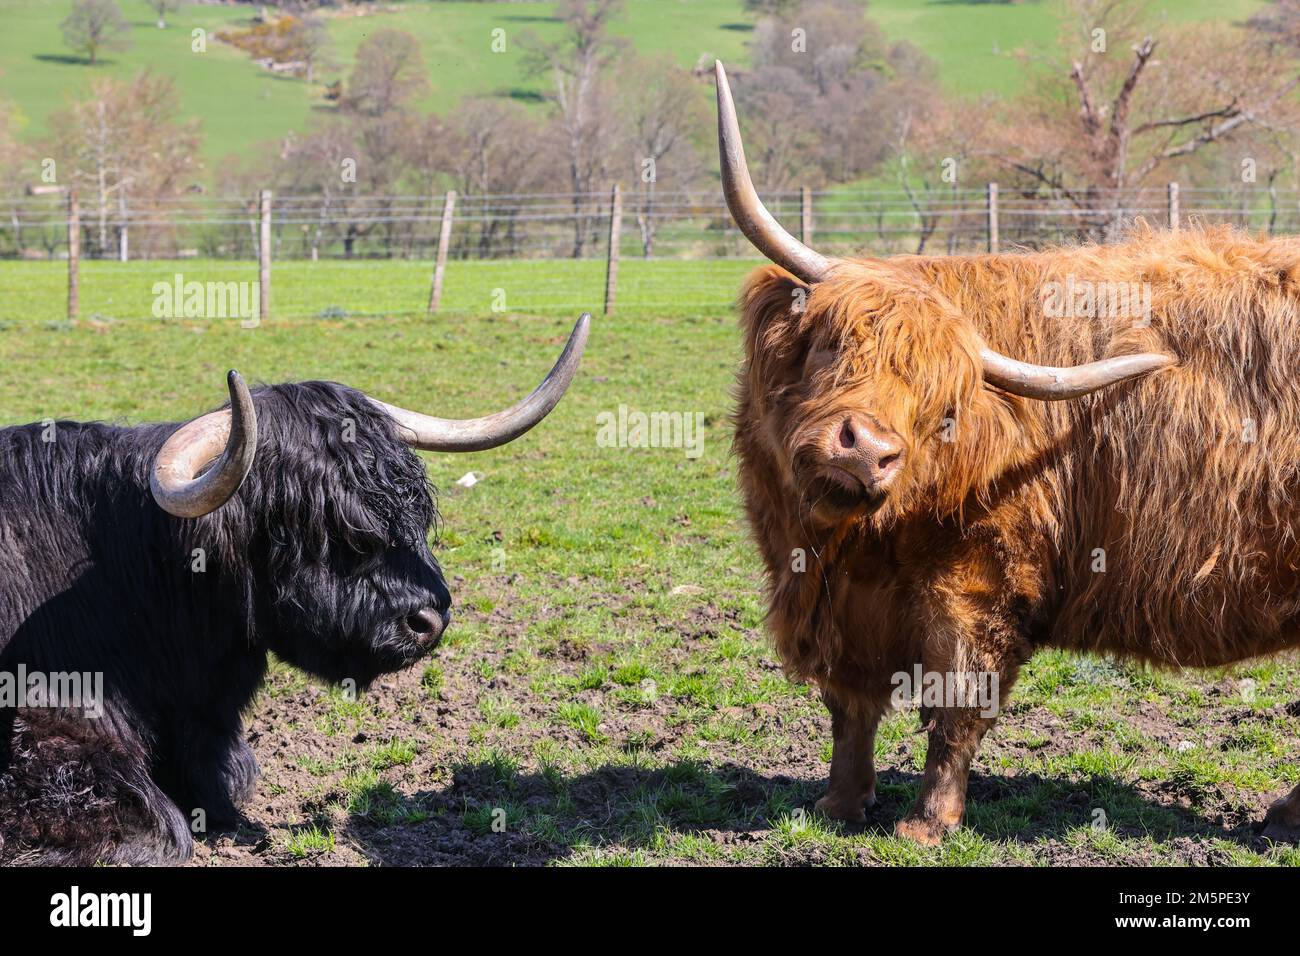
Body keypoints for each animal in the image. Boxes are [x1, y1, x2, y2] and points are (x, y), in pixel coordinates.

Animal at [712, 59, 1300, 845]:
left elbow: (957, 711)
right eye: (836, 343)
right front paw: (838, 804)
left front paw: (926, 822)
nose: (867, 452)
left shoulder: (978, 585)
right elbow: (851, 710)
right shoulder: (839, 605)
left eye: (941, 406)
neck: (851, 545)